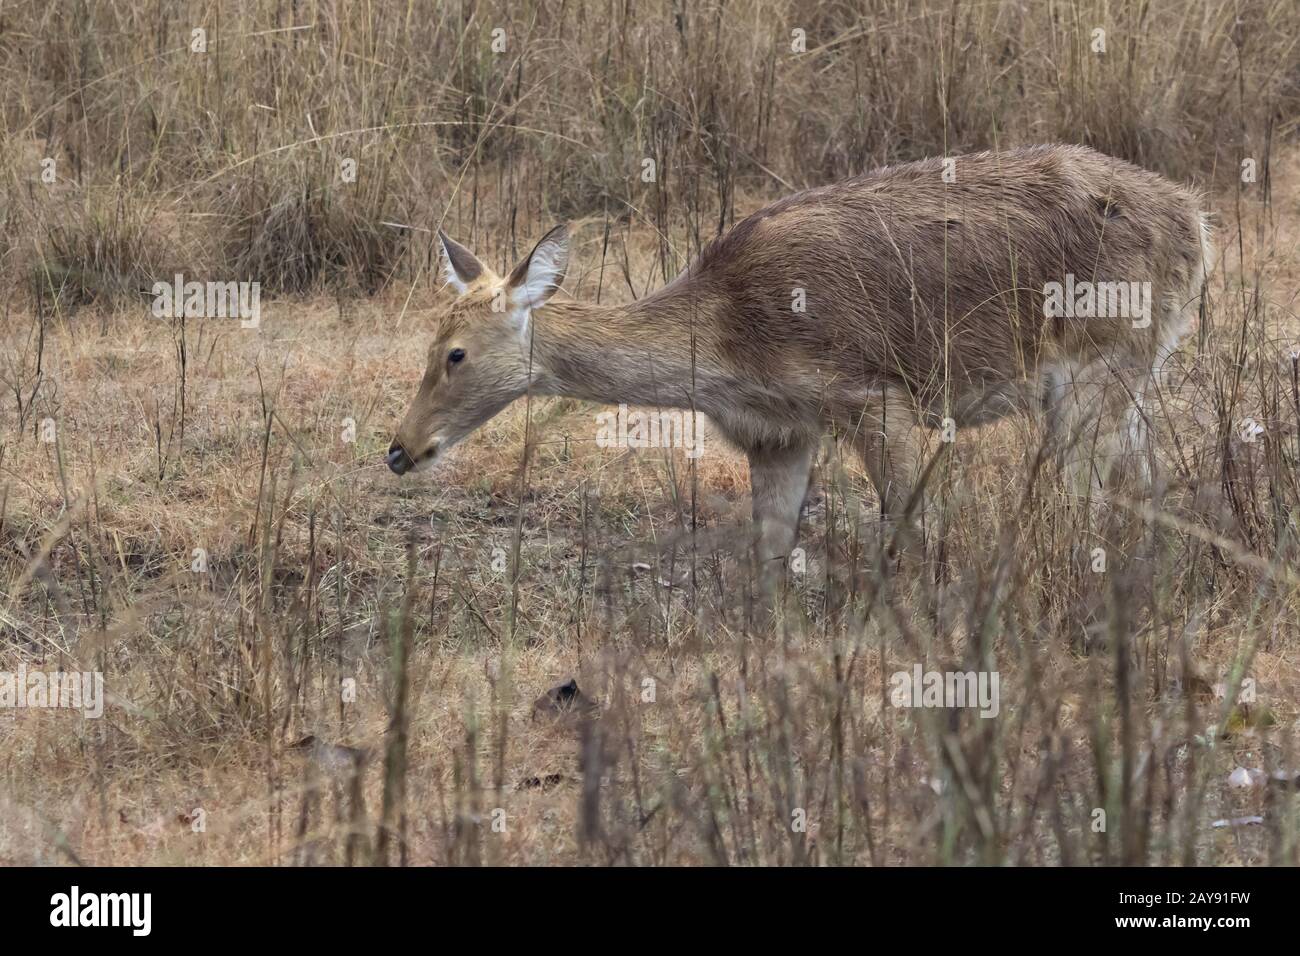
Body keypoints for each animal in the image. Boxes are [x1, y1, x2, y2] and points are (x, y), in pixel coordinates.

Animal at [388, 144, 1215, 581]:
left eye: (455, 353)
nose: (400, 449)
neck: (729, 344)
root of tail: (1198, 224)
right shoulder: (778, 432)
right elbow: (770, 545)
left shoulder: (876, 395)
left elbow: (916, 526)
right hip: (1134, 375)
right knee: (1150, 479)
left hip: (1096, 369)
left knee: (1085, 498)